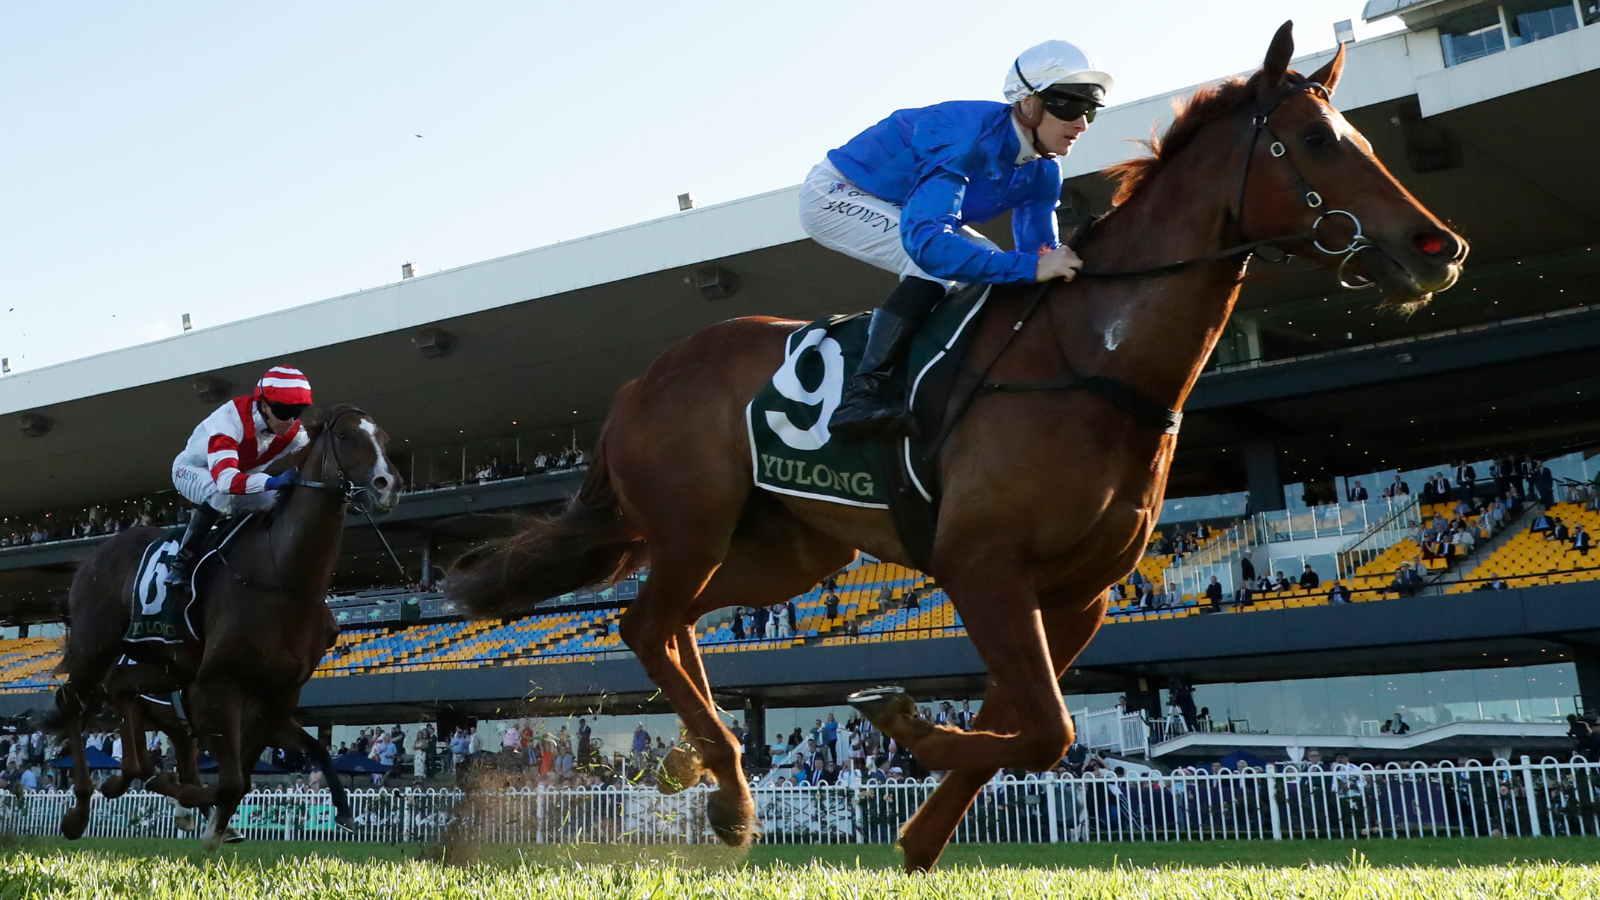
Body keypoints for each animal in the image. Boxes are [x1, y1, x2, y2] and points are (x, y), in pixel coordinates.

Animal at [52, 404, 400, 848]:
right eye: (345, 437)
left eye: (384, 438)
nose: (388, 485)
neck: (281, 576)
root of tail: (92, 558)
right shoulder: (216, 686)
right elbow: (232, 781)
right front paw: (199, 812)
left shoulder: (276, 698)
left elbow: (261, 771)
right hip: (94, 646)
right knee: (71, 704)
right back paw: (79, 810)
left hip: (162, 664)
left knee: (120, 689)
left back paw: (125, 779)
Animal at [444, 22, 1466, 871]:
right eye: (1319, 141)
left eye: (1363, 139)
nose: (1439, 246)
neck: (1093, 359)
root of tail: (637, 384)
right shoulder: (983, 569)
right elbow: (1046, 733)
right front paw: (900, 721)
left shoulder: (1077, 595)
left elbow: (1026, 726)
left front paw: (918, 835)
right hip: (695, 523)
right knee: (645, 621)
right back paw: (726, 788)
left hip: (787, 552)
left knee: (668, 624)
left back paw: (706, 775)